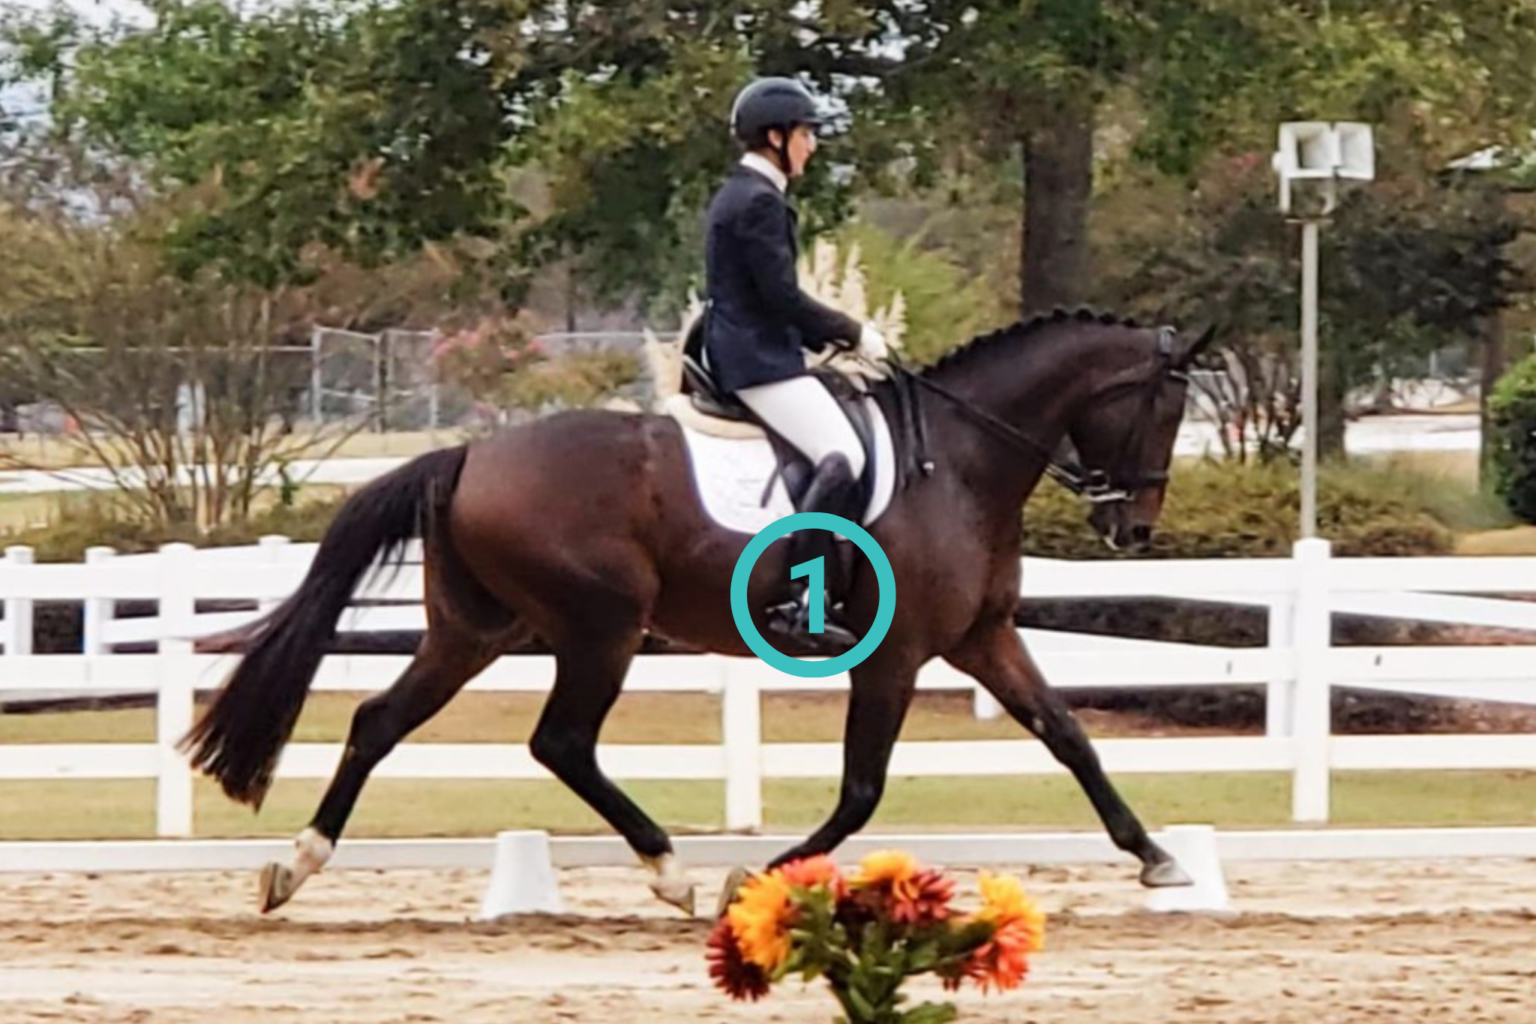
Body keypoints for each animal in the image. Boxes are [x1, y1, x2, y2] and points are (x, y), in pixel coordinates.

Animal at [180, 308, 1214, 915]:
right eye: (1162, 407)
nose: (1135, 527)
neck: (958, 461)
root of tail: (470, 455)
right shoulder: (894, 655)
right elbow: (862, 790)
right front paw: (755, 875)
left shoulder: (982, 638)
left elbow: (1068, 736)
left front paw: (1158, 857)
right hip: (602, 627)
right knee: (561, 744)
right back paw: (672, 872)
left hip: (478, 632)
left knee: (378, 720)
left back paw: (298, 864)